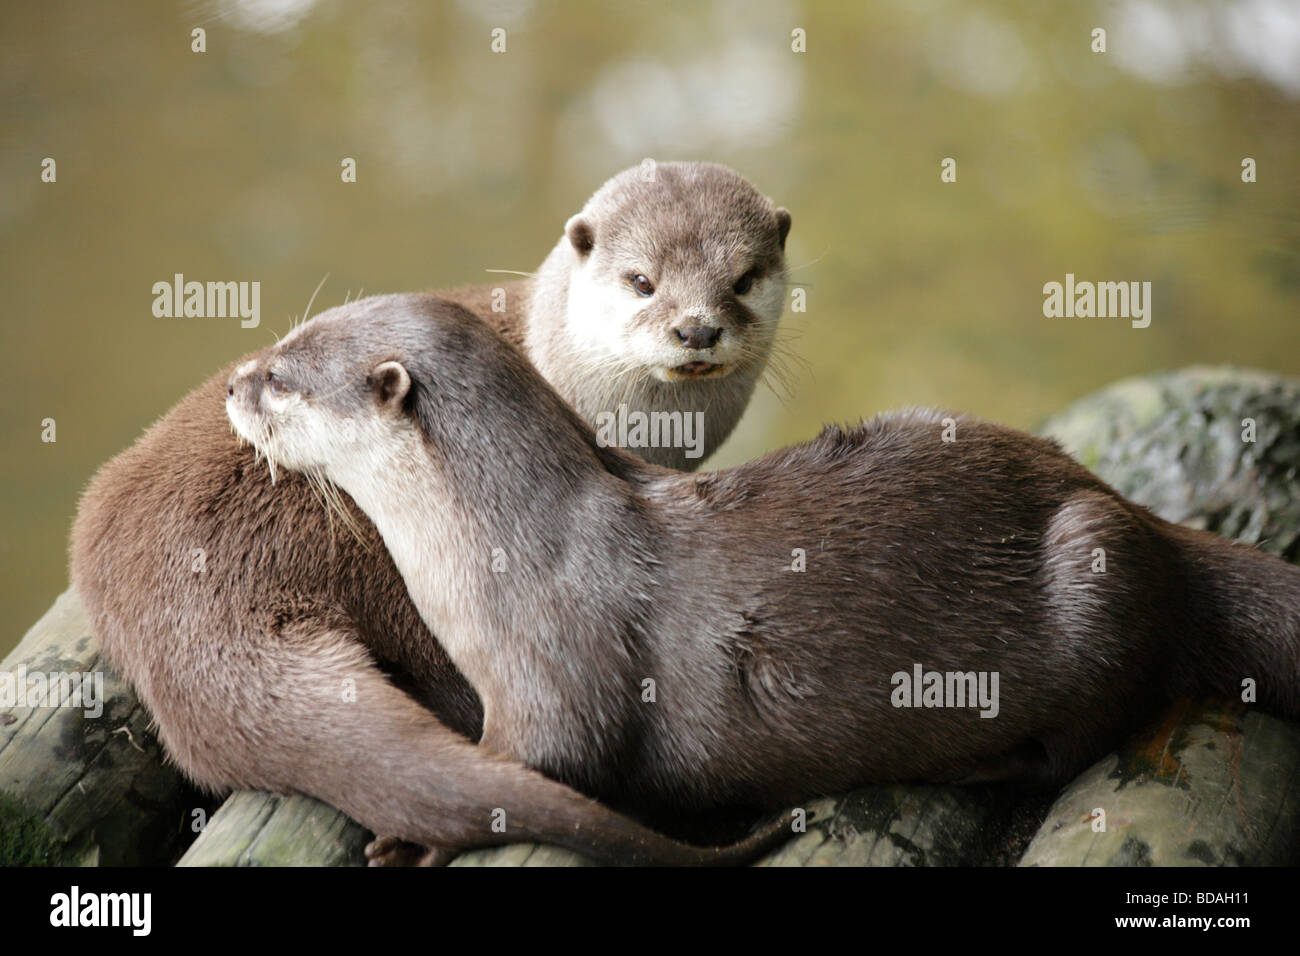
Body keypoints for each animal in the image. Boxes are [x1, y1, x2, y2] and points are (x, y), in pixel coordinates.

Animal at [228, 292, 1300, 817]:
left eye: (285, 376)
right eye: (279, 340)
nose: (235, 383)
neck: (502, 549)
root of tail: (1141, 517)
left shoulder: (559, 675)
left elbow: (549, 766)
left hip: (1095, 566)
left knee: (1081, 735)